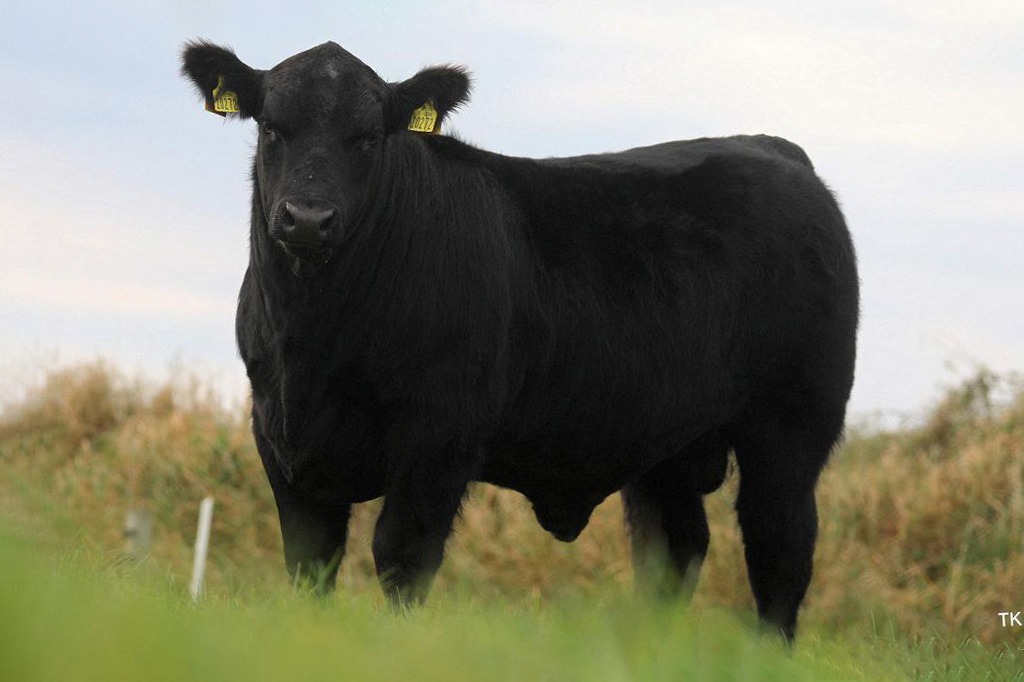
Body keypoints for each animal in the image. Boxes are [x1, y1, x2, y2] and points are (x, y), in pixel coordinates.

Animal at [181, 39, 858, 642]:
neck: (315, 346)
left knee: (779, 547)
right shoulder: (278, 435)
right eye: (273, 128)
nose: (308, 219)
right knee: (673, 550)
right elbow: (310, 563)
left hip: (791, 428)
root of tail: (769, 148)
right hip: (666, 444)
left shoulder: (439, 440)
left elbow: (401, 557)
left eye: (368, 137)